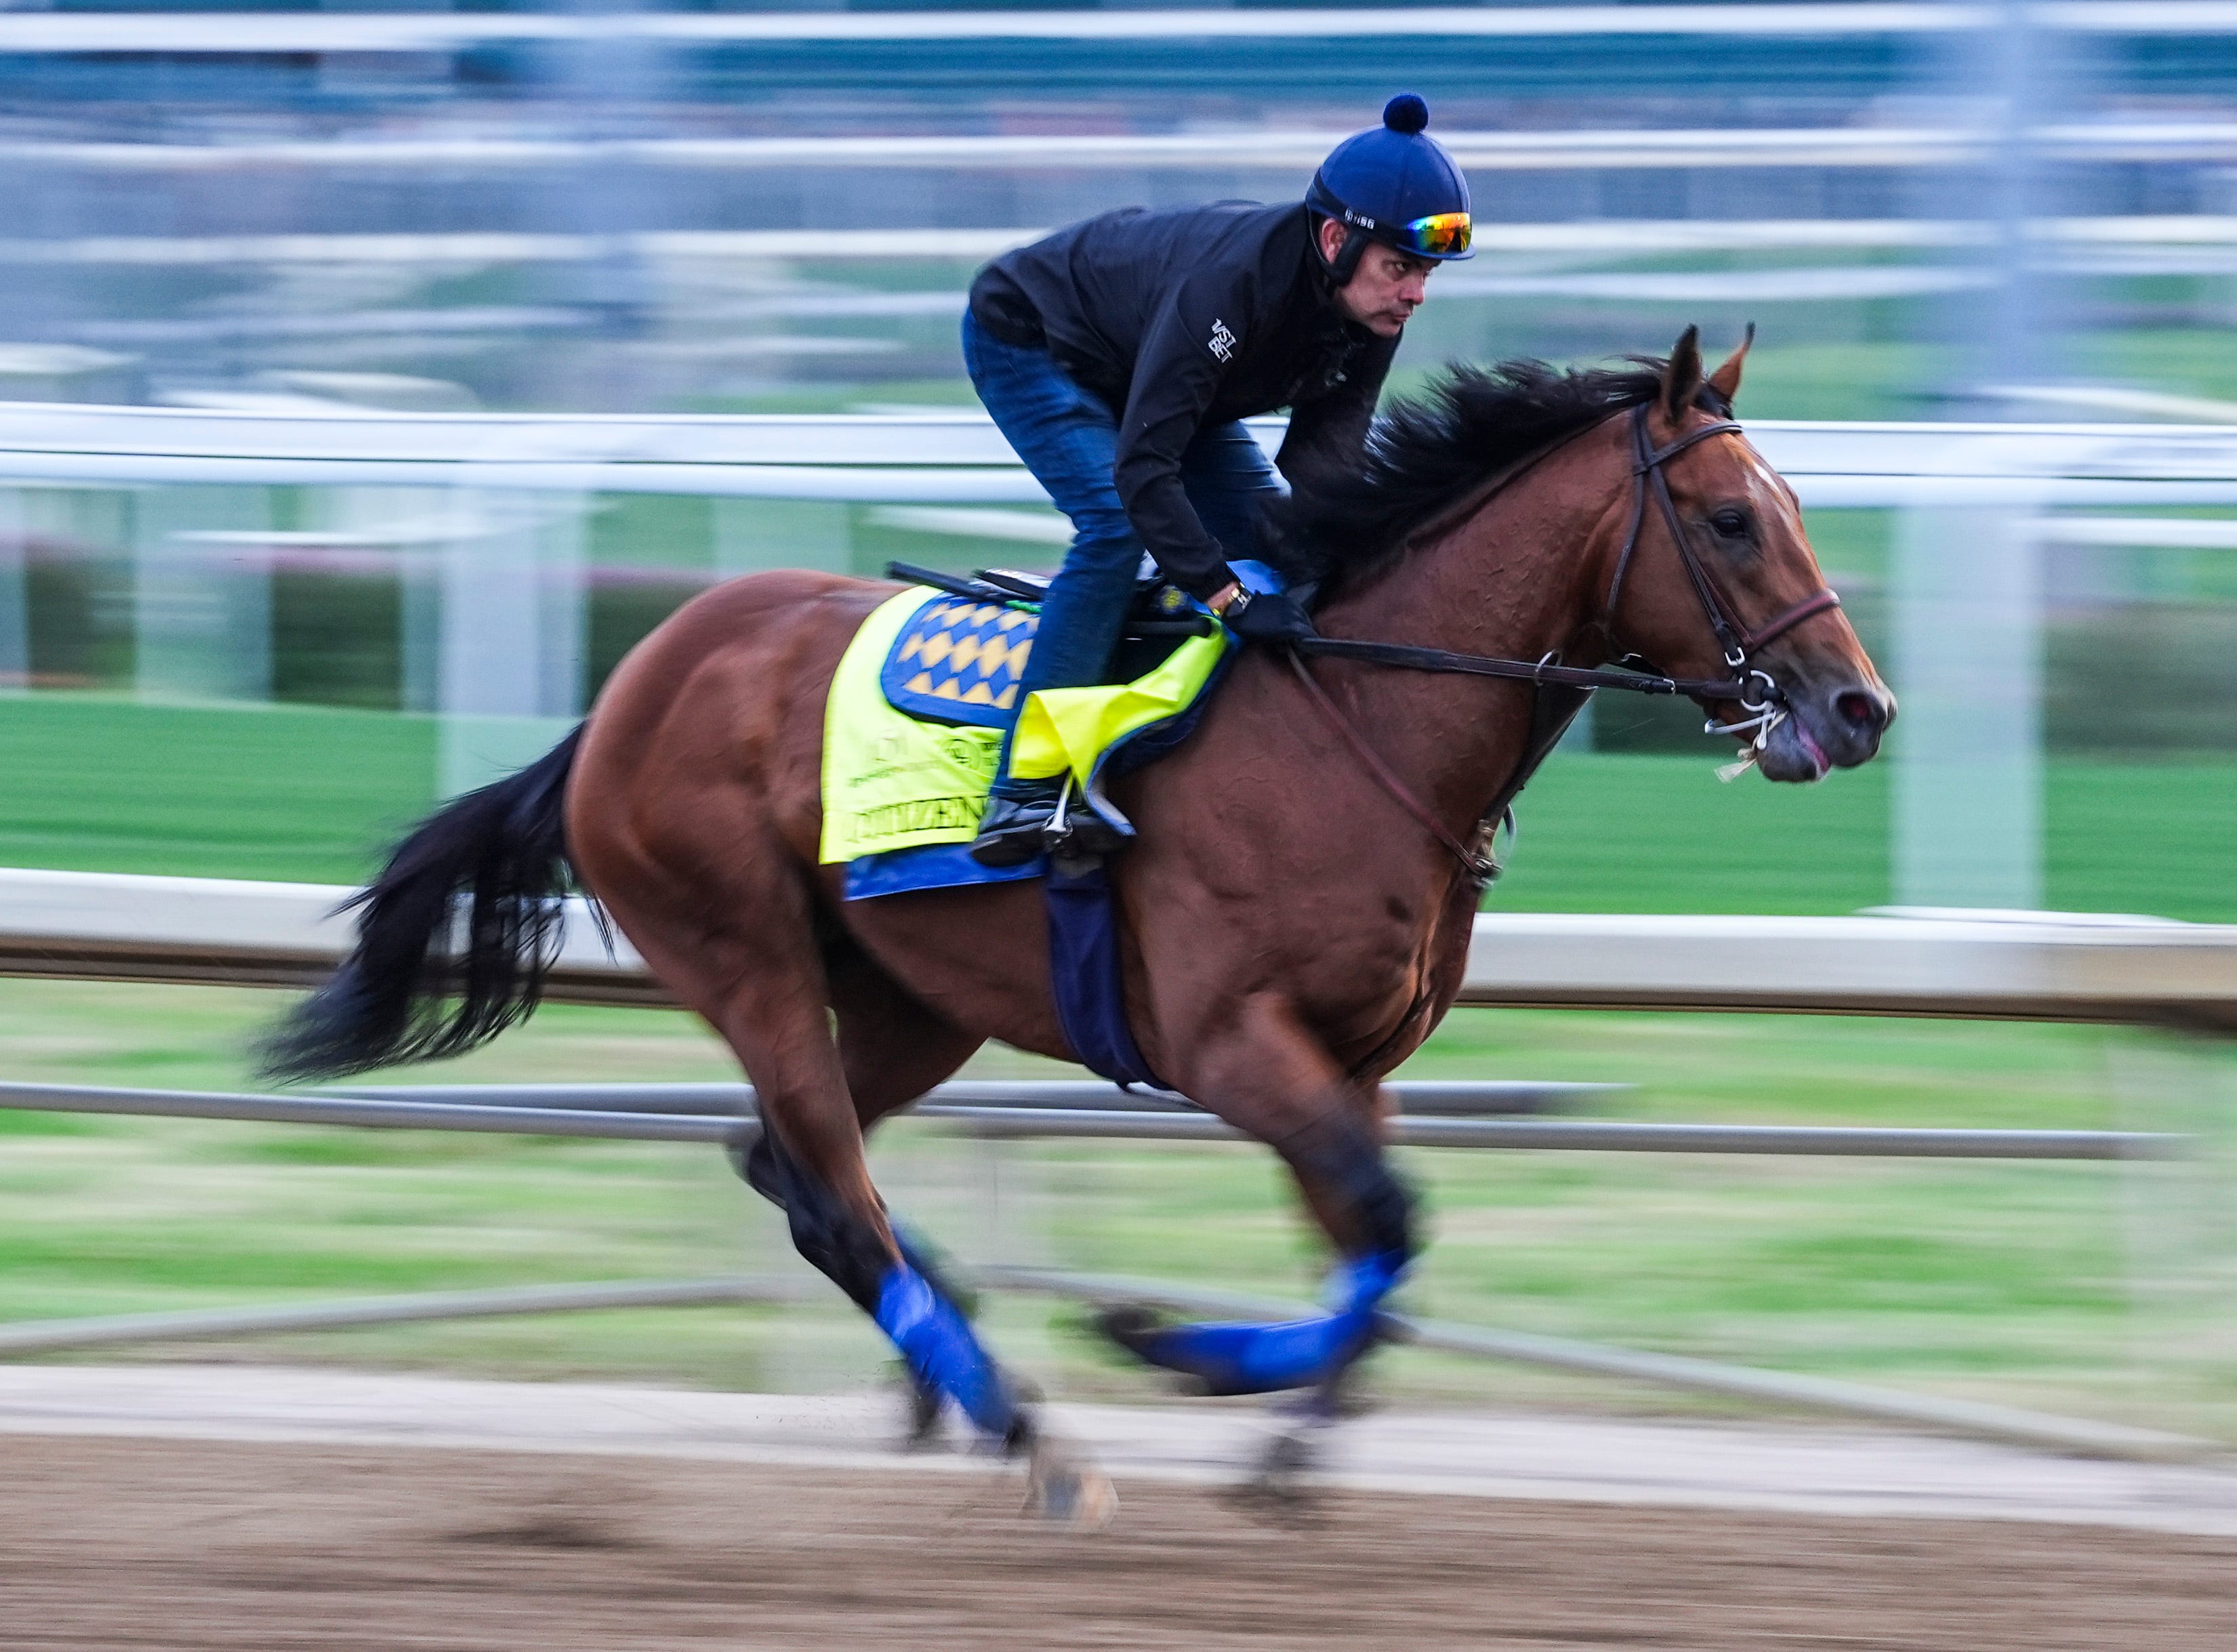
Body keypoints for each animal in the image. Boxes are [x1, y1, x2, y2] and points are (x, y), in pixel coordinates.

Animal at [263, 326, 1892, 1521]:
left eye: (1803, 513)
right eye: (1732, 521)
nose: (1857, 707)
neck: (1359, 716)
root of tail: (623, 694)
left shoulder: (1353, 1063)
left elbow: (1376, 1258)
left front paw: (1258, 1418)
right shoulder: (1231, 1045)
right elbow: (1386, 1225)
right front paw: (1174, 1353)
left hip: (912, 999)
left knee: (789, 1170)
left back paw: (958, 1367)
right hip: (743, 950)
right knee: (830, 1194)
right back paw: (1025, 1433)